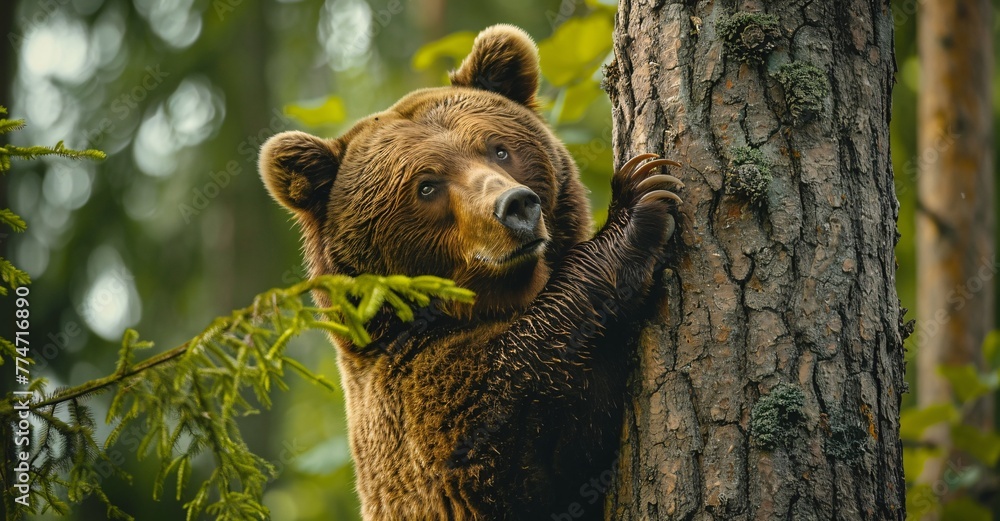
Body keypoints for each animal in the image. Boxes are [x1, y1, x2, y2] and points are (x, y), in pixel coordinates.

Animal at [258, 24, 682, 521]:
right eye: (426, 186)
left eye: (499, 149)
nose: (515, 206)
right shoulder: (408, 398)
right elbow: (497, 440)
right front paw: (642, 196)